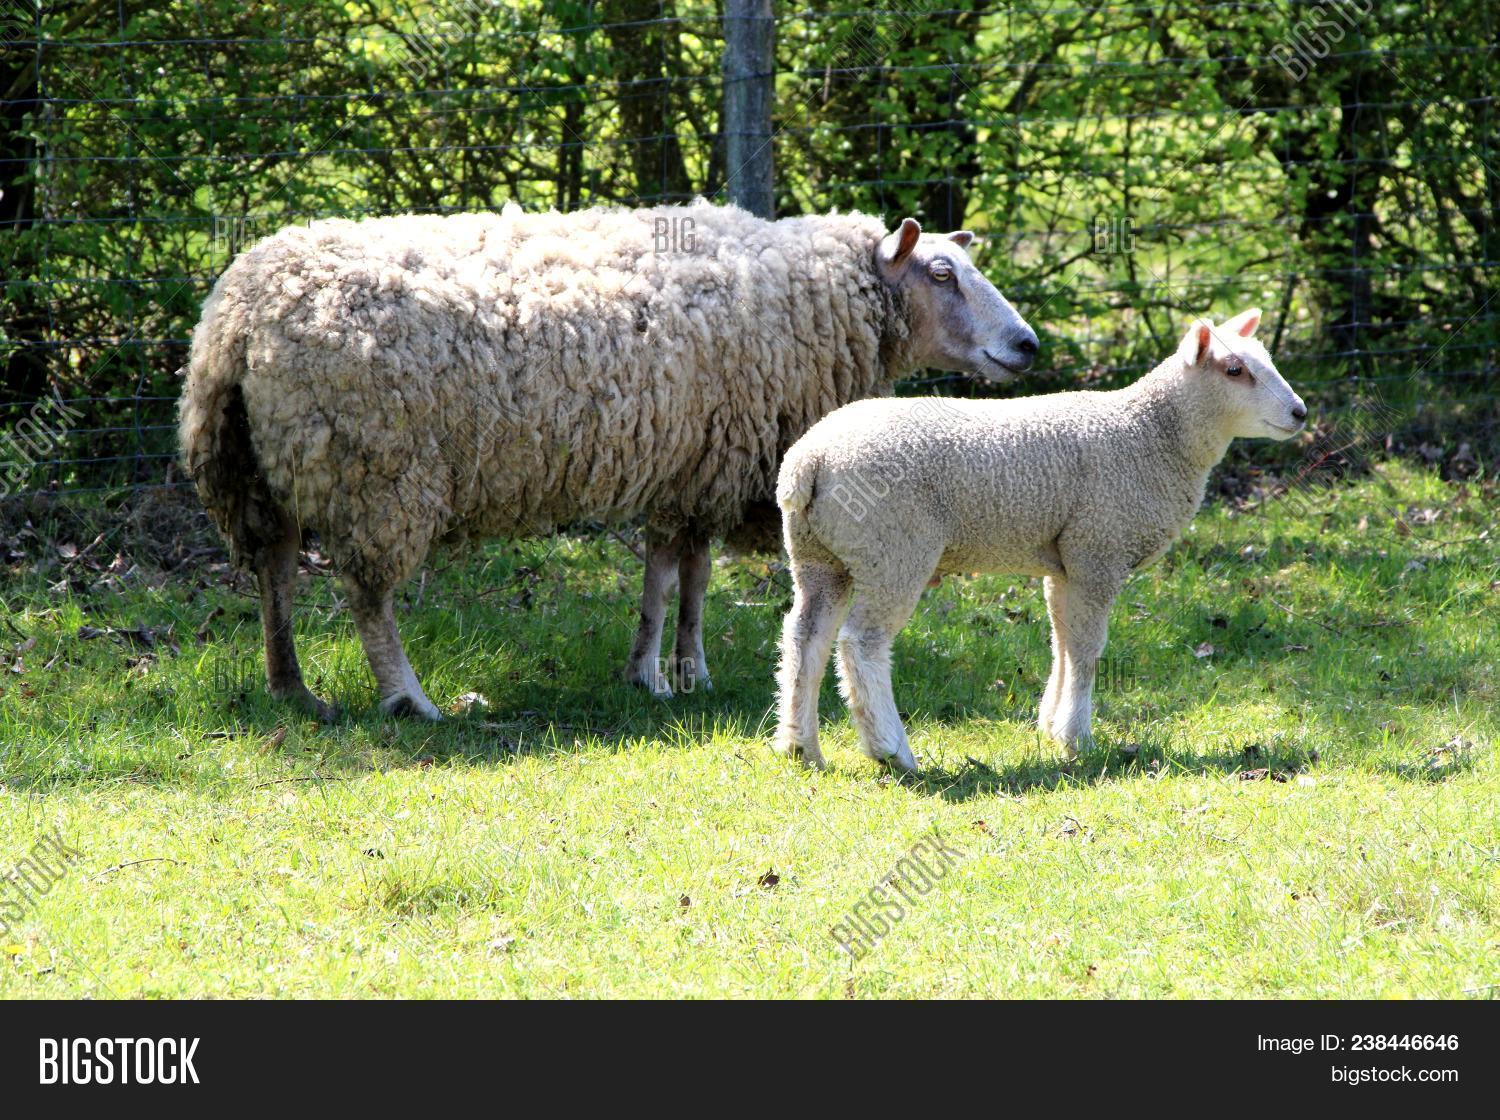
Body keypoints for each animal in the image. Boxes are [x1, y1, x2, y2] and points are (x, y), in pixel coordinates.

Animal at [179, 199, 1039, 720]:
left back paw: (291, 688)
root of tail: (238, 316)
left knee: (275, 568)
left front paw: (677, 670)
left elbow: (682, 575)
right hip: (377, 471)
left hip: (261, 467)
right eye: (940, 274)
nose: (1027, 345)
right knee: (366, 595)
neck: (810, 296)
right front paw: (666, 673)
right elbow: (675, 576)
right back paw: (407, 698)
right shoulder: (706, 462)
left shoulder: (690, 464)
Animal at [772, 308, 1307, 771]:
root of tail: (808, 462)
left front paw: (1051, 726)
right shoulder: (1099, 548)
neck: (1152, 436)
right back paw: (891, 749)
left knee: (805, 637)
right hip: (894, 547)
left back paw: (801, 746)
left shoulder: (1067, 559)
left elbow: (1063, 642)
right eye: (1235, 370)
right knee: (861, 644)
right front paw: (1077, 739)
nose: (1300, 412)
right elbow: (1088, 648)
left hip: (821, 555)